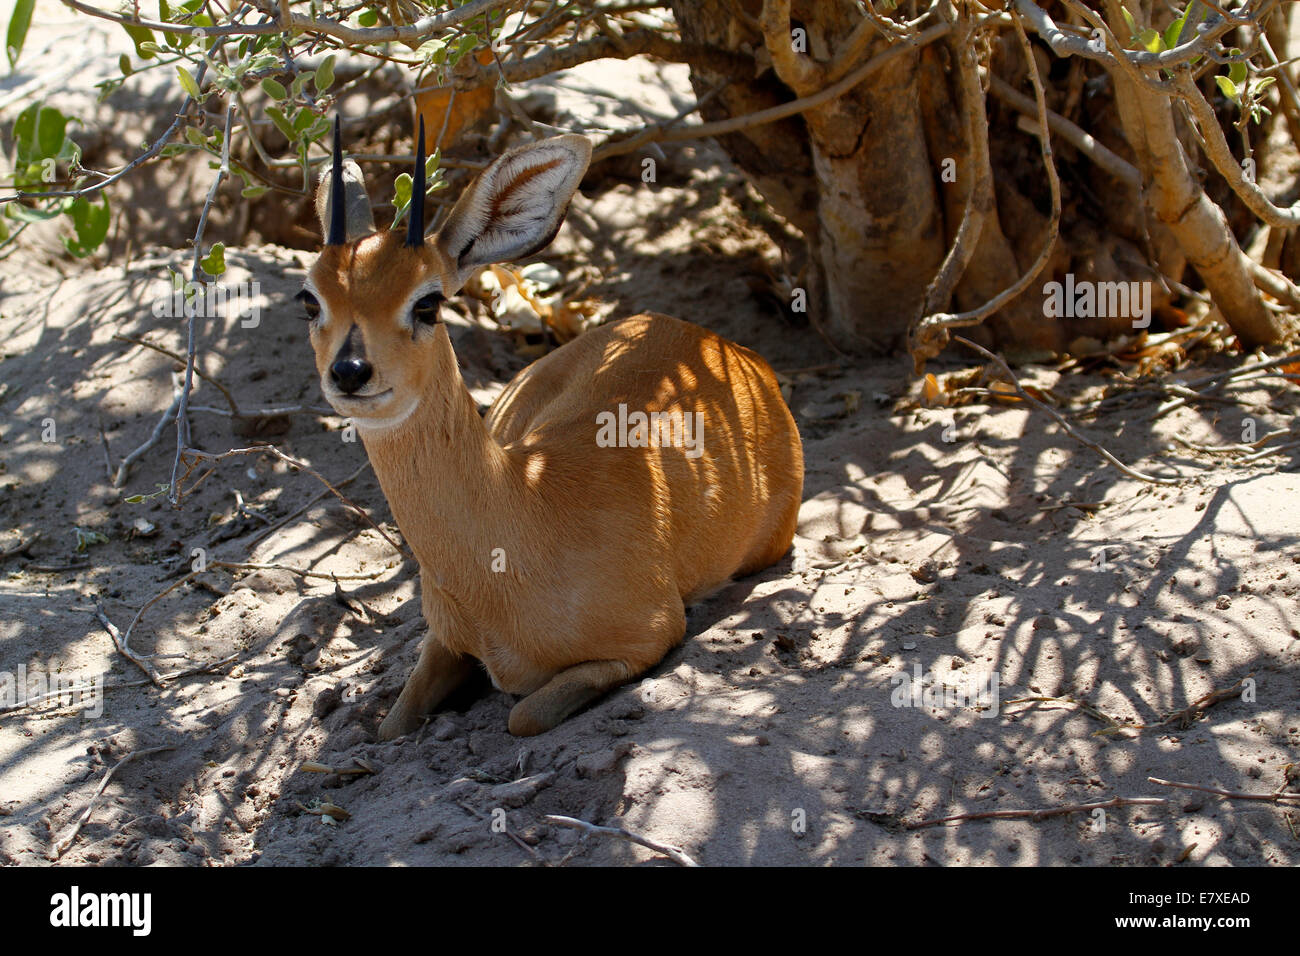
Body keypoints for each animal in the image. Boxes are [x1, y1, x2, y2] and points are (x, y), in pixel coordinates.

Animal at [296, 118, 804, 738]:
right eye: (310, 299)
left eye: (428, 302)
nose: (350, 371)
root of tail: (722, 343)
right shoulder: (444, 640)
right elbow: (391, 727)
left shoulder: (646, 640)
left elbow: (523, 715)